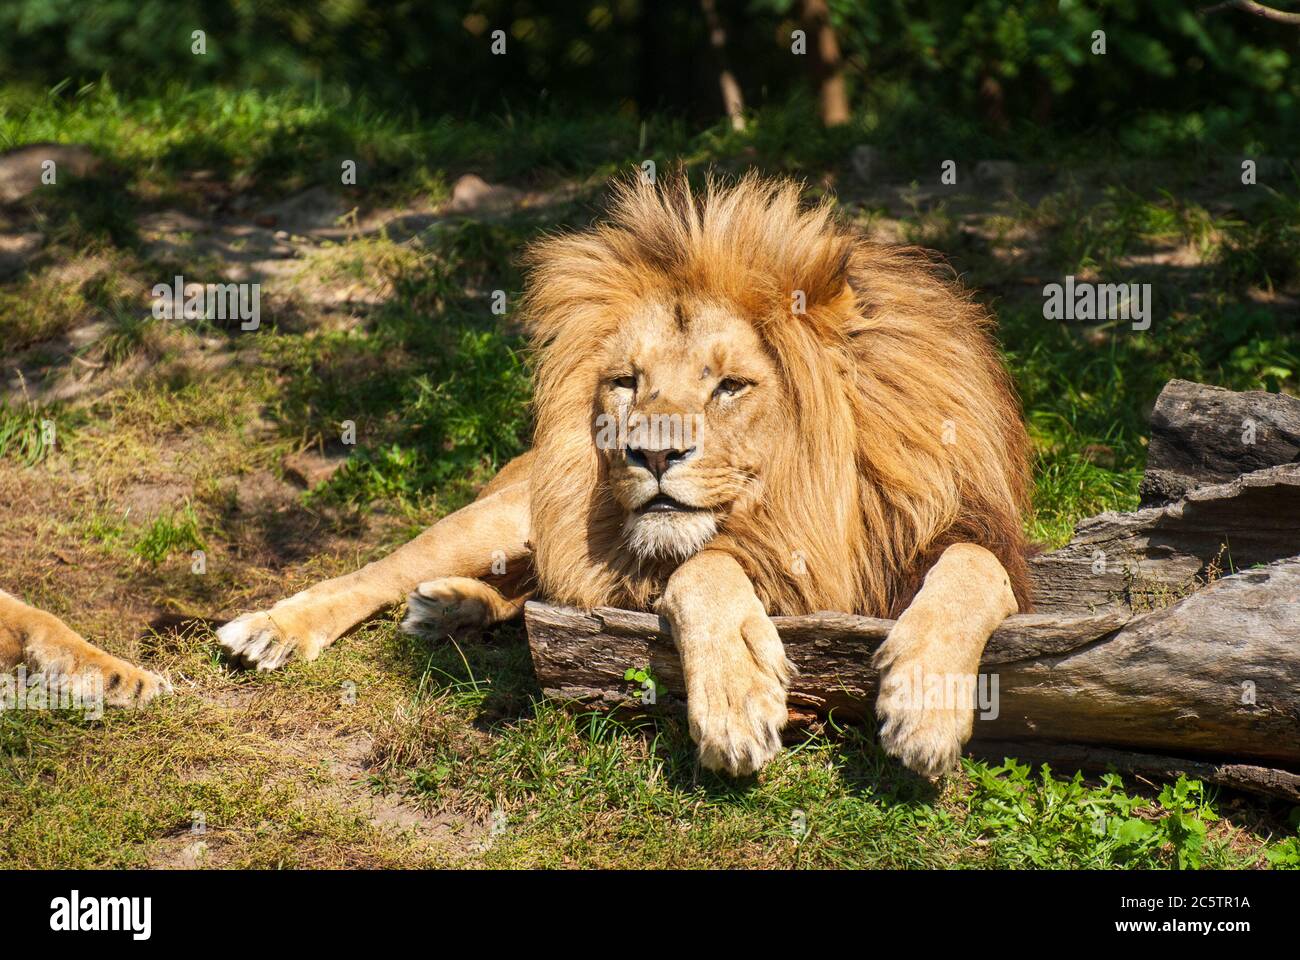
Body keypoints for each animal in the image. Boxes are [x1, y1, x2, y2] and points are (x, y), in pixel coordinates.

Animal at [217, 173, 1032, 777]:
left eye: (730, 386)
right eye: (626, 382)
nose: (654, 454)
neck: (800, 505)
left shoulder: (955, 532)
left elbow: (971, 568)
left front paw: (924, 706)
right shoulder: (639, 567)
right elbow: (701, 568)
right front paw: (736, 698)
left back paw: (450, 607)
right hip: (504, 515)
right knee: (386, 569)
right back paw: (274, 629)